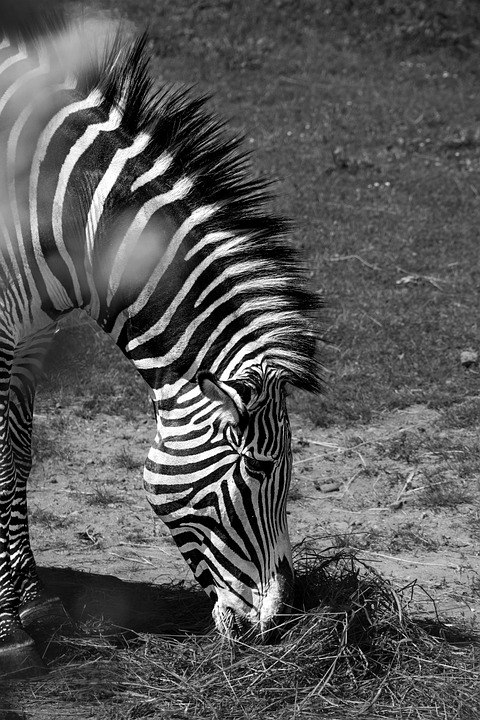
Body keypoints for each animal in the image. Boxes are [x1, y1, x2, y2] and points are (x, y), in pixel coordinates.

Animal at [0, 8, 323, 677]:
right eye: (260, 468)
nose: (280, 623)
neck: (61, 209)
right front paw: (5, 631)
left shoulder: (32, 334)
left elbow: (16, 456)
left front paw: (33, 603)